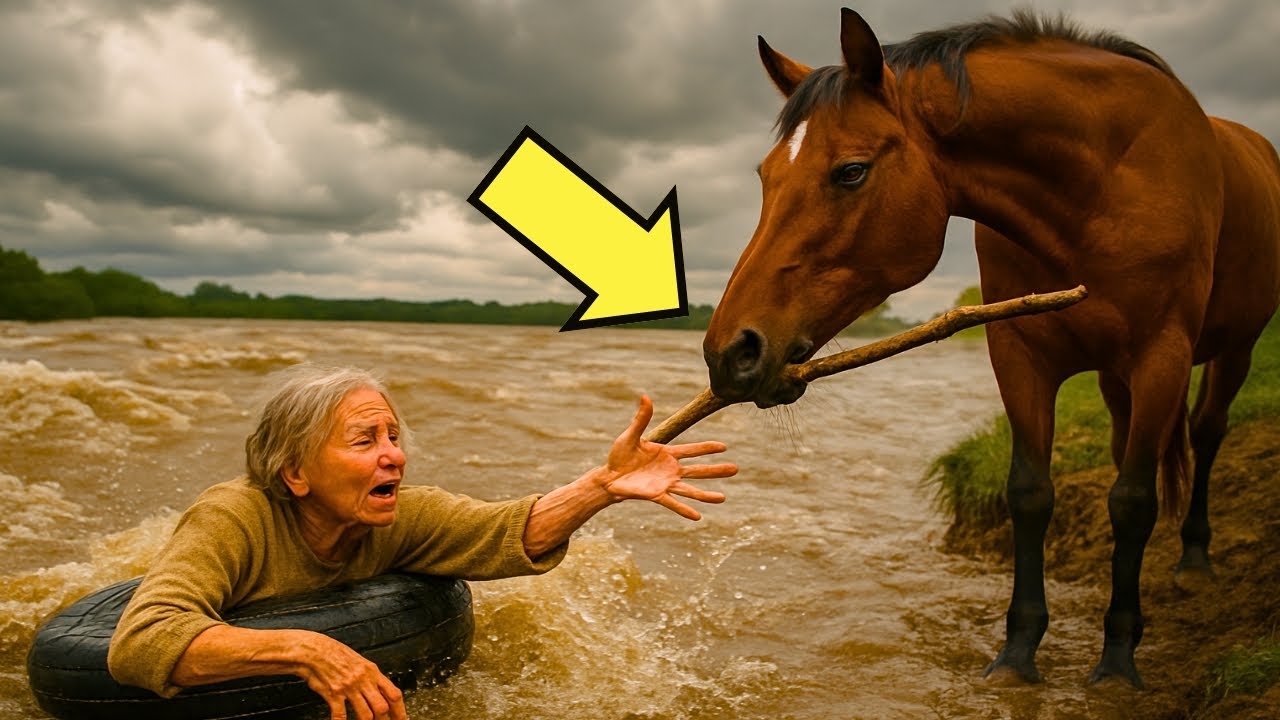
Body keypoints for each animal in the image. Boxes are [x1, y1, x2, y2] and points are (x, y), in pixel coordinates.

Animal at [702, 8, 1280, 688]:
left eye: (851, 171)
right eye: (766, 176)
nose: (730, 351)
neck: (1102, 185)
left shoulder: (1160, 354)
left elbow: (1134, 502)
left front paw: (1116, 660)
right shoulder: (1019, 353)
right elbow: (1030, 494)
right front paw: (1017, 653)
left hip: (1232, 349)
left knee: (1207, 433)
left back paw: (1193, 559)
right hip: (1116, 379)